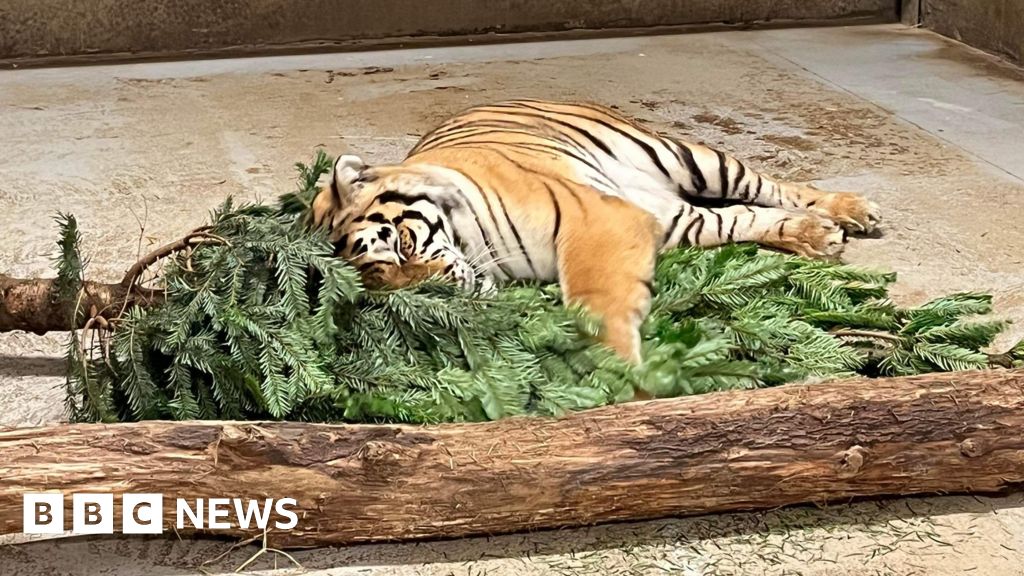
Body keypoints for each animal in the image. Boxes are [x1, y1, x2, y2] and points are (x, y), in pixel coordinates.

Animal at [311, 98, 880, 364]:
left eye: (403, 246)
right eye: (381, 288)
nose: (442, 292)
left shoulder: (594, 219)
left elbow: (595, 297)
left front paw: (620, 371)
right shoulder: (645, 221)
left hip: (693, 160)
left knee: (775, 186)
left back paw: (853, 209)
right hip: (682, 218)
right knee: (745, 216)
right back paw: (818, 235)